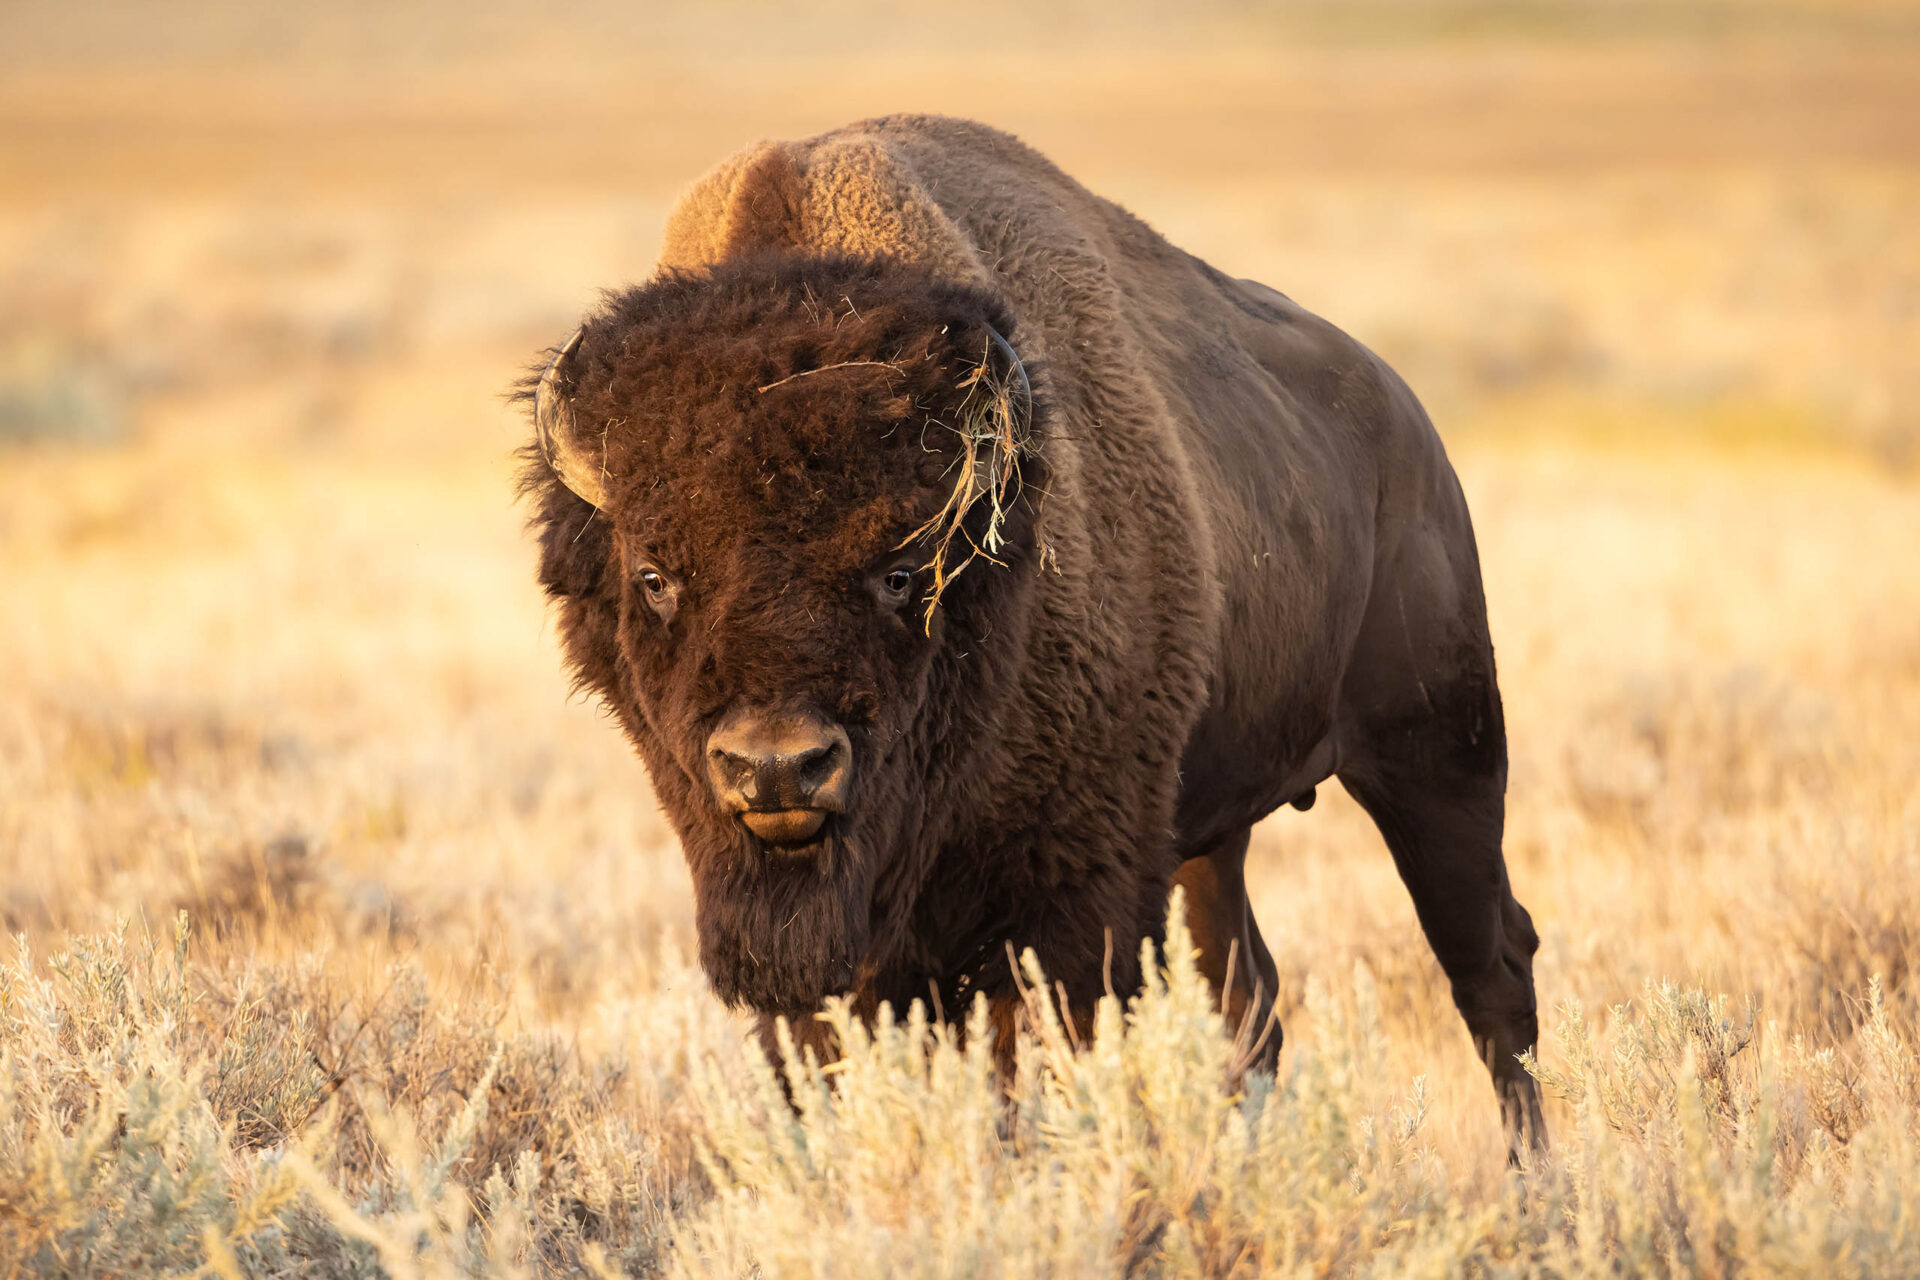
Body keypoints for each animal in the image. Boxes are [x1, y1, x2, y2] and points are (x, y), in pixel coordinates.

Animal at [522, 114, 1544, 1154]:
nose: (778, 769)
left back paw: (1531, 1178)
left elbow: (1027, 1079)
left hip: (1439, 755)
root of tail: (1410, 427)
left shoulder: (1059, 909)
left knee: (1491, 968)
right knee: (1249, 999)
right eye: (654, 576)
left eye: (904, 571)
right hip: (1214, 834)